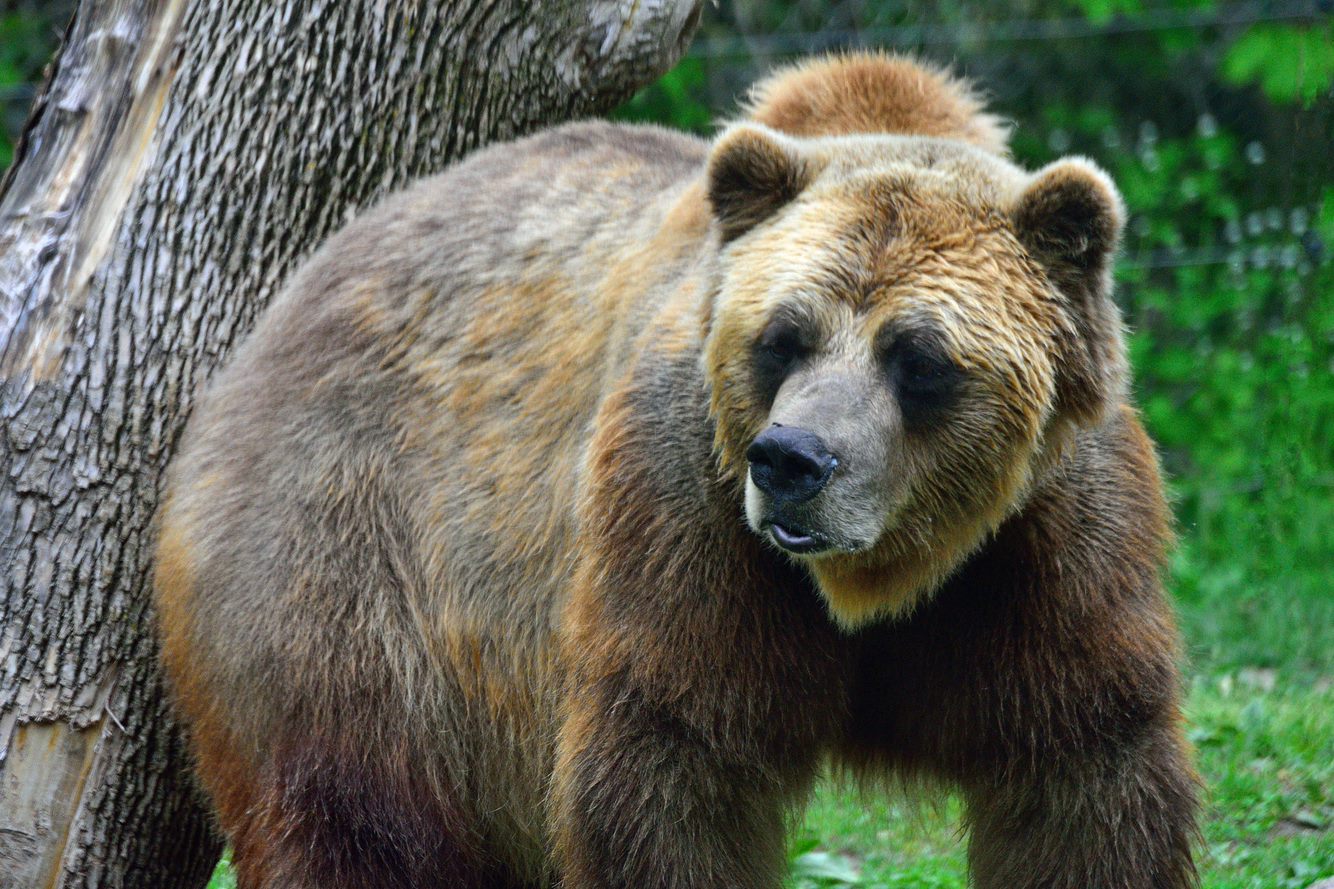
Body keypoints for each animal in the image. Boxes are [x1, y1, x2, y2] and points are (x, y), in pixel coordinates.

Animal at [154, 53, 1199, 889]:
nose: (793, 460)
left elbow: (1084, 777)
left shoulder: (1046, 553)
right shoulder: (684, 516)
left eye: (918, 356)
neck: (881, 577)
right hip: (354, 567)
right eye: (782, 336)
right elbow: (676, 764)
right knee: (356, 806)